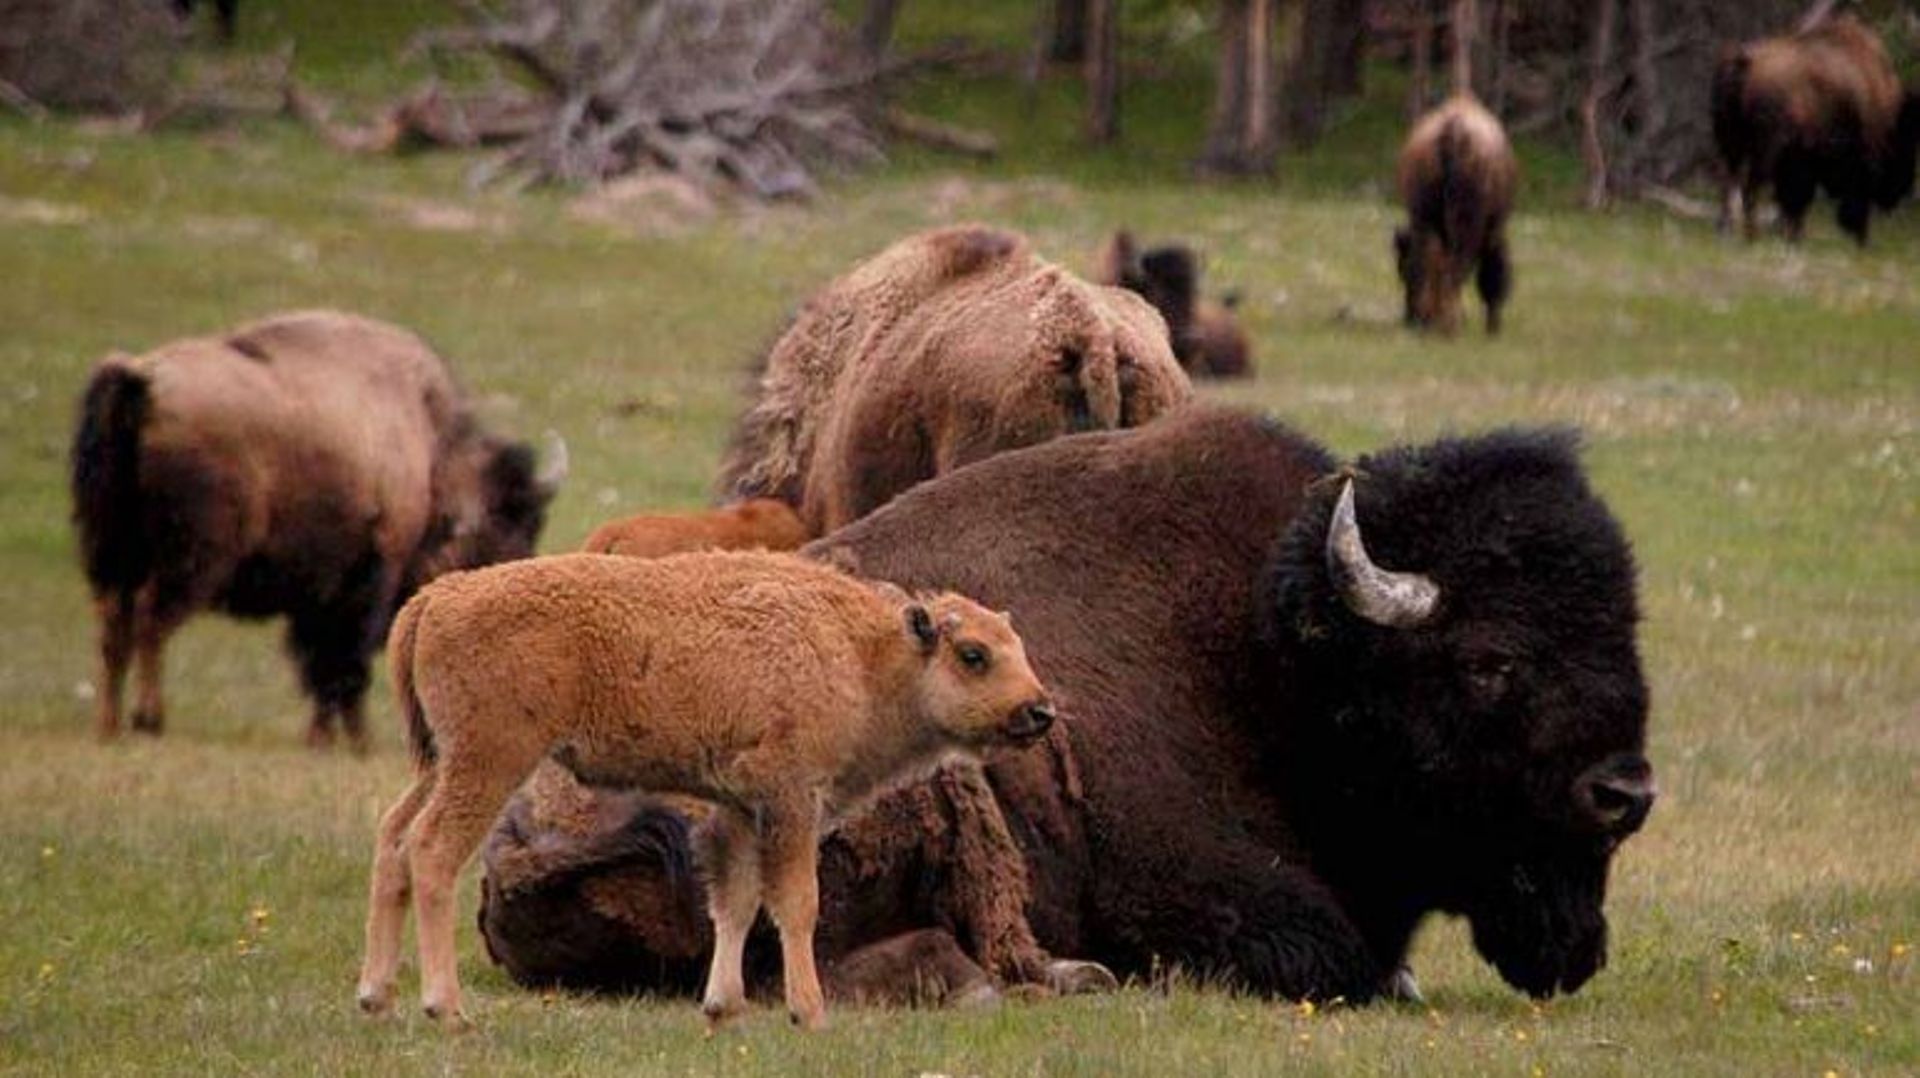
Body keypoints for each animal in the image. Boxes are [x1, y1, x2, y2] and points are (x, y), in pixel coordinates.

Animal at [70, 310, 564, 749]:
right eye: (509, 524)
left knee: (113, 626)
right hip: (194, 559)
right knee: (150, 622)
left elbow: (319, 664)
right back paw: (149, 719)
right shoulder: (368, 580)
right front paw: (353, 742)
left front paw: (324, 738)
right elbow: (343, 664)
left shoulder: (318, 595)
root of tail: (140, 383)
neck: (431, 451)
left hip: (111, 554)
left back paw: (108, 727)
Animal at [477, 405, 1655, 1003]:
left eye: (1625, 632)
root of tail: (516, 841)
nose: (1626, 791)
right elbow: (1340, 960)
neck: (1270, 653)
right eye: (1492, 662)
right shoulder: (1199, 889)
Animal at [1395, 94, 1516, 334]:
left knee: (1430, 262)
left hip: (1426, 218)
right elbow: (1491, 275)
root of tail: (1454, 131)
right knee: (1453, 268)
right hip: (1464, 224)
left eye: (1401, 270)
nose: (1408, 318)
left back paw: (1434, 322)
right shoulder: (1494, 229)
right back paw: (1448, 325)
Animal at [1713, 15, 1920, 245]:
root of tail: (1745, 60)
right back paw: (1752, 237)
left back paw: (1727, 231)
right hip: (1765, 149)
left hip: (1730, 143)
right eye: (1906, 143)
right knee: (1750, 187)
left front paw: (1794, 235)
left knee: (1729, 181)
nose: (1904, 190)